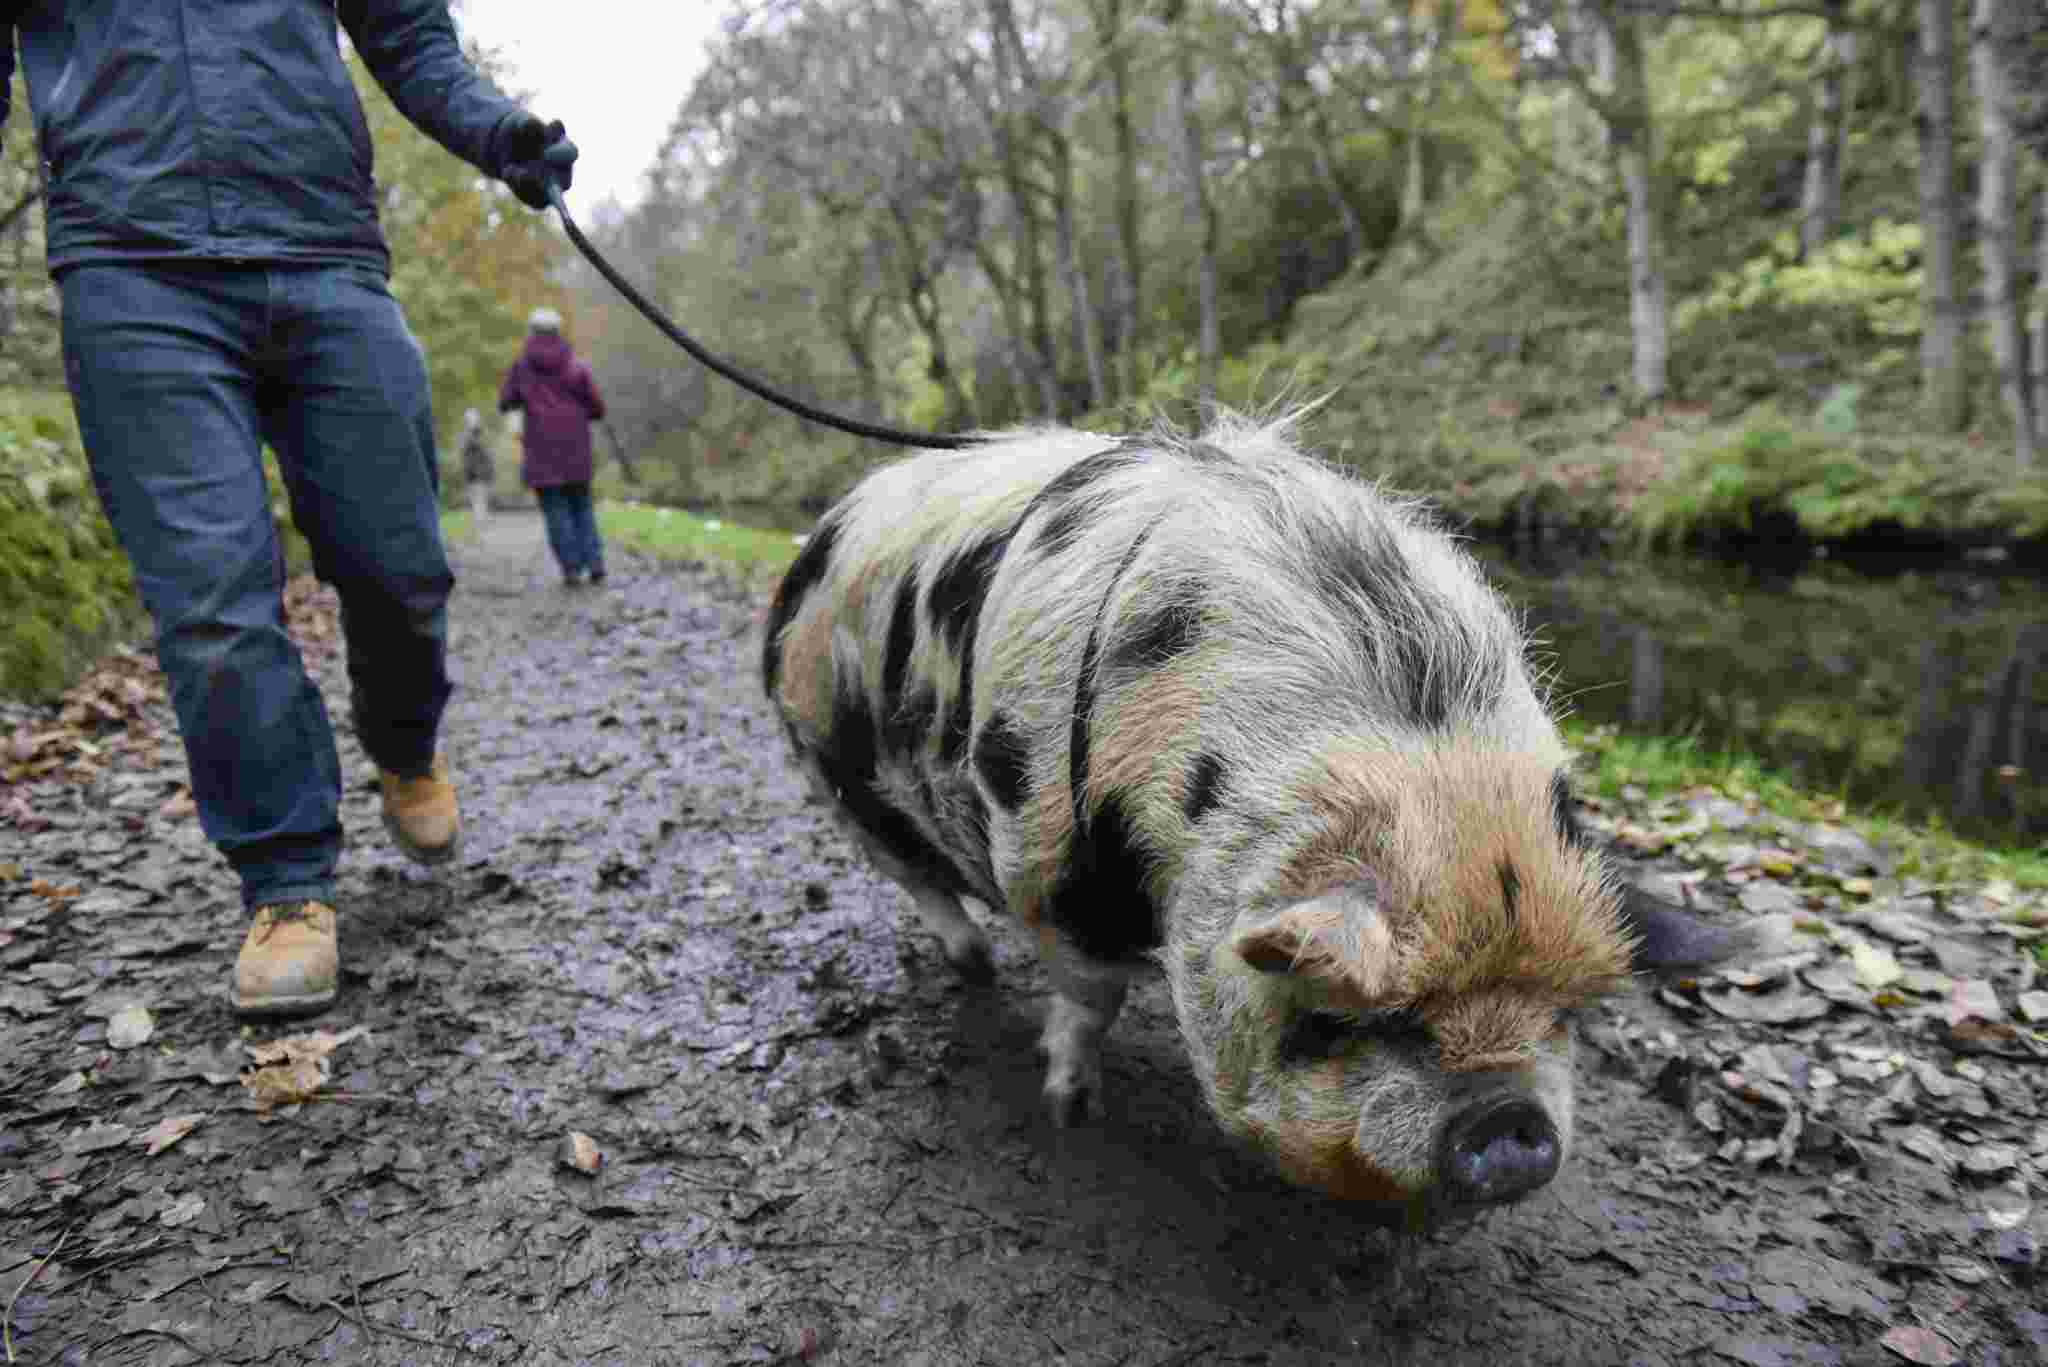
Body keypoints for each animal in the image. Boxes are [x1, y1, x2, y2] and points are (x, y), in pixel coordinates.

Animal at [761, 410, 1748, 1217]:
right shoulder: (1038, 855)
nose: (1507, 1122)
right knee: (906, 868)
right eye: (1351, 1020)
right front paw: (1071, 1109)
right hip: (828, 761)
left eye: (1566, 1014)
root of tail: (827, 525)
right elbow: (1091, 994)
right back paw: (971, 967)